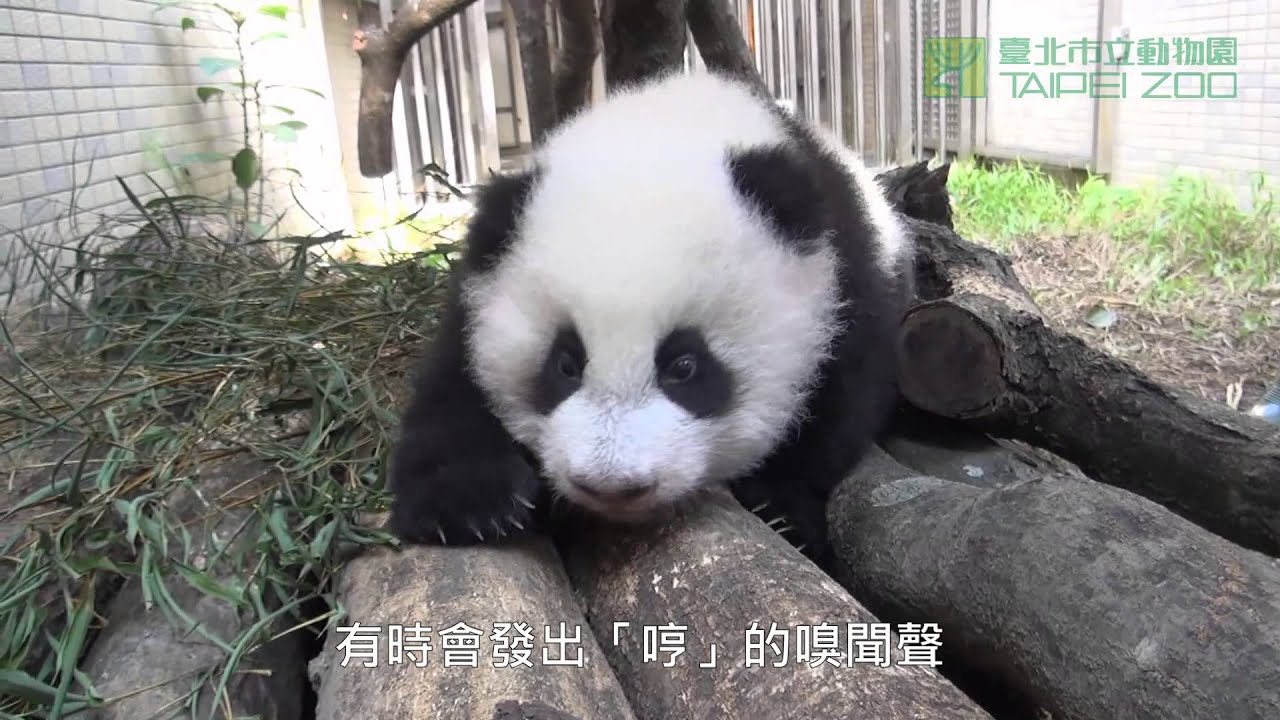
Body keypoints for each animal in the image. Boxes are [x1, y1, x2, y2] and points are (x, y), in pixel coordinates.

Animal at [386, 69, 914, 564]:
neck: (662, 129)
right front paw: (468, 504)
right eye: (565, 364)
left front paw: (781, 512)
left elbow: (840, 400)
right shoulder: (480, 283)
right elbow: (452, 385)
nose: (611, 485)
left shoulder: (845, 279)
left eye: (685, 366)